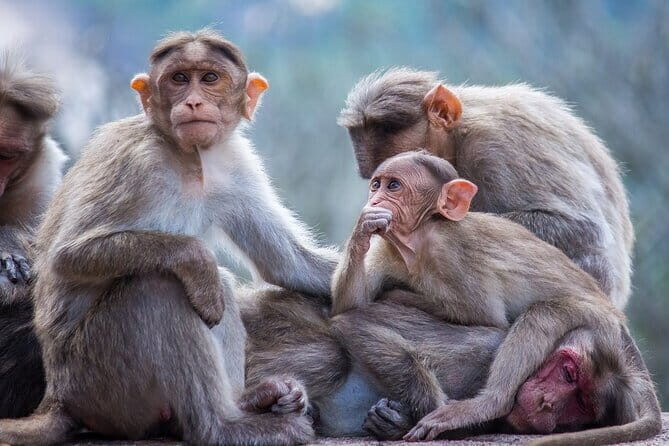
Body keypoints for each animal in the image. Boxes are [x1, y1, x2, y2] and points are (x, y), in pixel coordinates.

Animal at [0, 30, 337, 445]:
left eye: (209, 78)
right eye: (178, 79)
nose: (193, 101)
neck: (187, 156)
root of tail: (56, 398)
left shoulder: (234, 162)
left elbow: (287, 263)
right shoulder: (135, 162)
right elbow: (67, 255)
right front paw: (196, 257)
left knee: (211, 289)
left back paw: (250, 402)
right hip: (100, 383)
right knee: (161, 285)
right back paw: (220, 427)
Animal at [329, 151, 660, 444]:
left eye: (394, 186)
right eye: (377, 184)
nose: (374, 199)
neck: (420, 239)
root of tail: (619, 323)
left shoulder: (453, 254)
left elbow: (486, 318)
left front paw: (399, 295)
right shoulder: (387, 250)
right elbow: (353, 303)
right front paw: (363, 230)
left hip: (596, 317)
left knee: (544, 314)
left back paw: (489, 404)